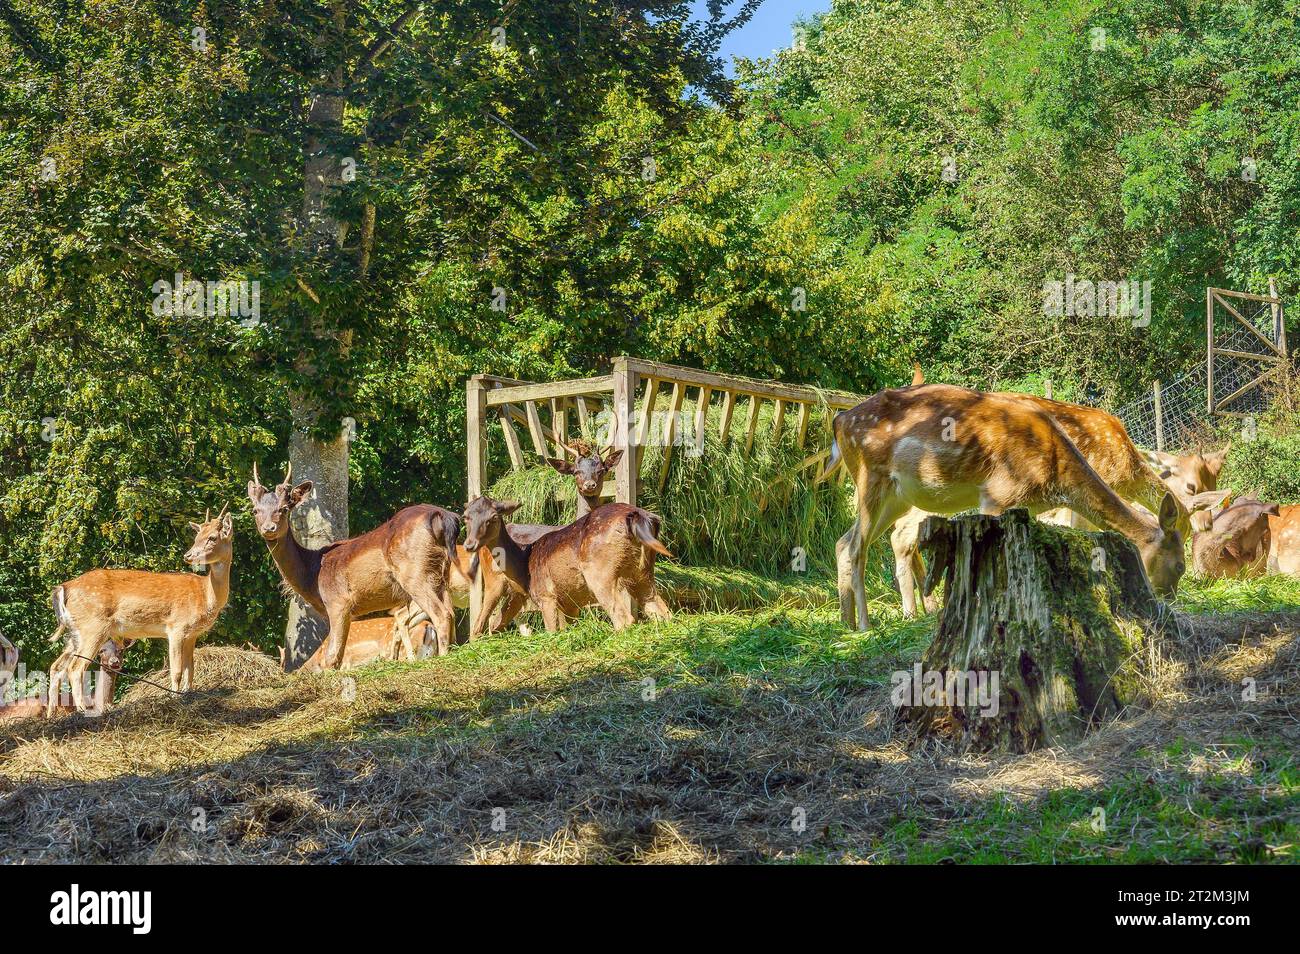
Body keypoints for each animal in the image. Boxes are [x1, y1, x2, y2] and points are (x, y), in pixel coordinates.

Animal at [45, 506, 233, 714]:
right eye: (197, 537)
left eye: (212, 537)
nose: (188, 555)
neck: (205, 595)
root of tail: (63, 588)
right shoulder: (176, 627)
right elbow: (176, 670)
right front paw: (174, 698)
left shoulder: (192, 634)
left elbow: (190, 669)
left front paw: (187, 694)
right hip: (92, 627)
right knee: (75, 667)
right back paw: (82, 709)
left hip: (73, 633)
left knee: (56, 667)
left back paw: (51, 714)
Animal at [247, 462, 462, 667]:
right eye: (255, 510)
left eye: (284, 509)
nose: (269, 528)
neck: (313, 575)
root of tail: (443, 516)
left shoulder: (338, 602)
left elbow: (332, 657)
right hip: (441, 574)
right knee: (451, 612)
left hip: (414, 573)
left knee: (441, 614)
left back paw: (443, 658)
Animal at [461, 496, 672, 632]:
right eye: (466, 516)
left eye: (493, 517)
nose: (469, 544)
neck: (525, 567)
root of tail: (639, 516)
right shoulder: (569, 605)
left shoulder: (546, 596)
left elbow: (552, 632)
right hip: (642, 573)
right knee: (662, 612)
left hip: (599, 574)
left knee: (624, 619)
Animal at [828, 383, 1201, 630]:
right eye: (1180, 565)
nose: (1168, 599)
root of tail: (839, 421)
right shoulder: (997, 495)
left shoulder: (1028, 508)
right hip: (871, 480)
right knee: (860, 546)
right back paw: (867, 625)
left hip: (898, 496)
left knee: (846, 541)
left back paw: (848, 622)